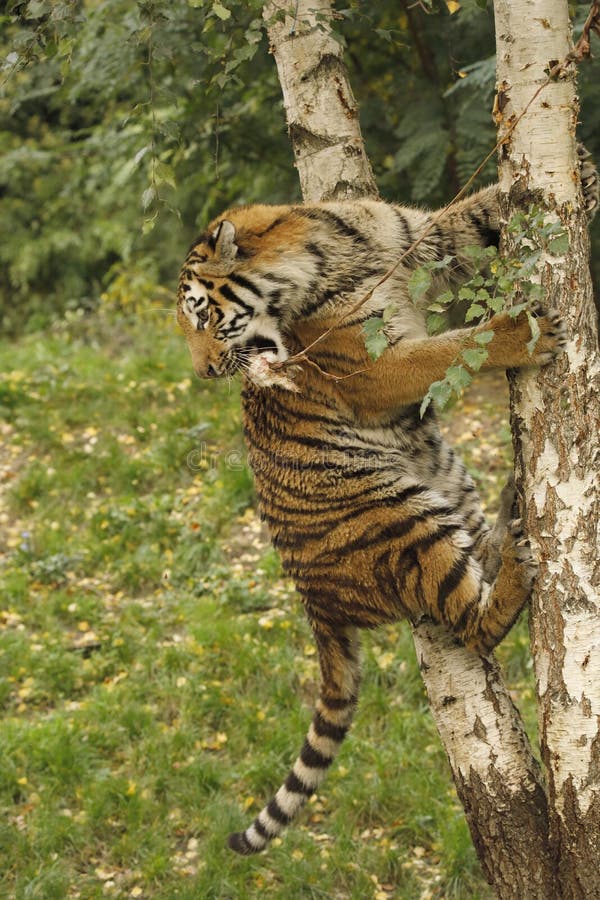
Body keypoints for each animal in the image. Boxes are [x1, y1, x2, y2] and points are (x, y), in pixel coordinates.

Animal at [176, 153, 598, 856]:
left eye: (204, 319)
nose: (205, 373)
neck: (326, 253)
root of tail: (310, 599)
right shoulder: (370, 368)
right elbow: (449, 349)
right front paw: (522, 332)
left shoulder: (419, 240)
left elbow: (471, 215)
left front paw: (577, 174)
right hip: (399, 518)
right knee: (471, 623)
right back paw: (519, 559)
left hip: (448, 480)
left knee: (477, 556)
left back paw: (512, 506)